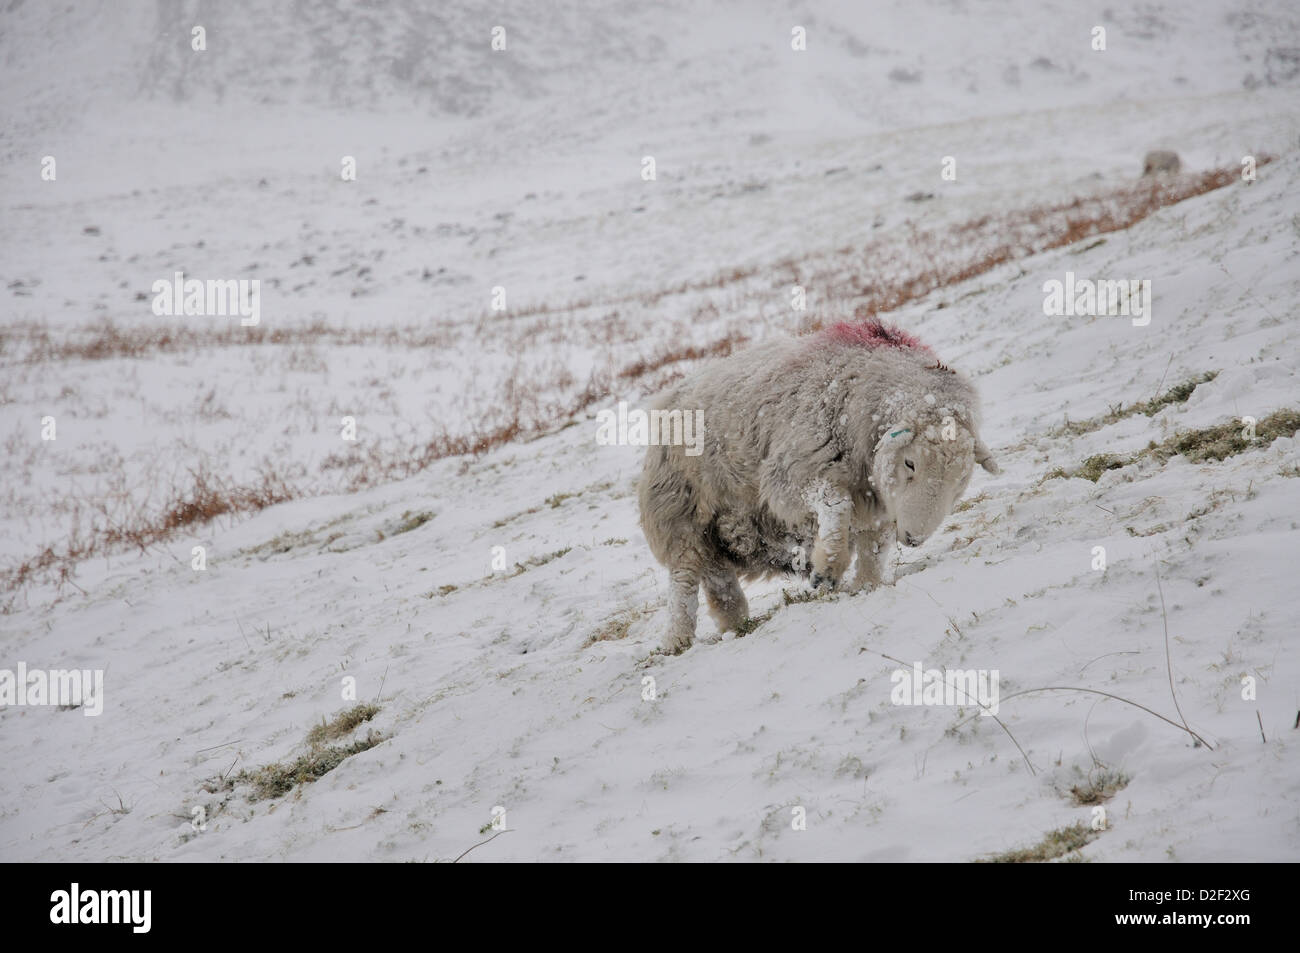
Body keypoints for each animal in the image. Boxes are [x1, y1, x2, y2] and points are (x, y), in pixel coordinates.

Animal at [638, 320, 998, 654]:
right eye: (910, 463)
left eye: (960, 480)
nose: (912, 538)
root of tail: (671, 392)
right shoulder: (795, 475)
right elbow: (837, 509)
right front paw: (827, 569)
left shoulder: (877, 503)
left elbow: (874, 547)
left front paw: (865, 586)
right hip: (678, 512)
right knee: (684, 578)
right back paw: (677, 640)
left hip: (713, 527)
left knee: (717, 577)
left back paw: (735, 622)